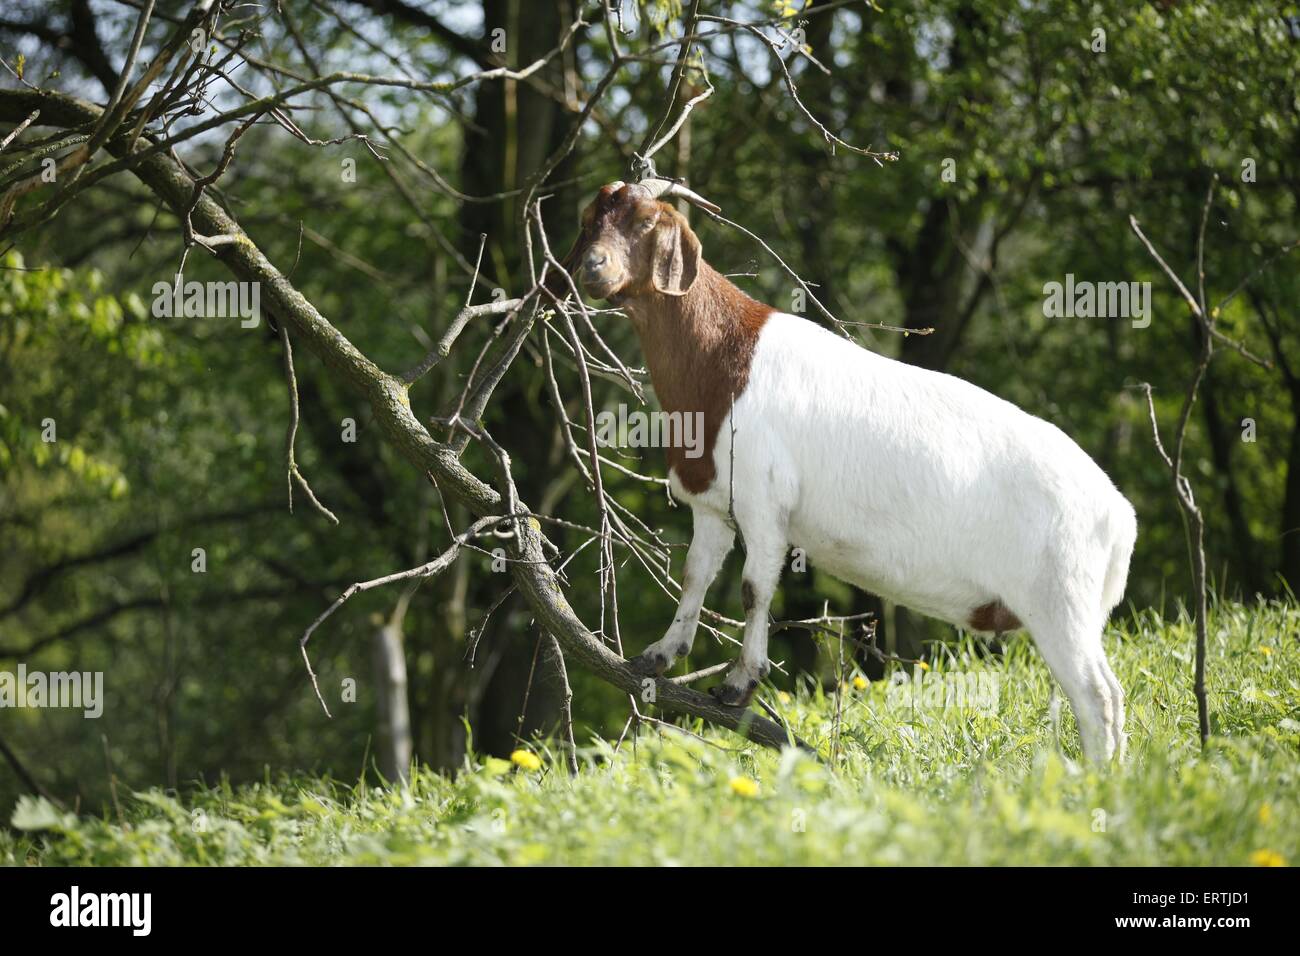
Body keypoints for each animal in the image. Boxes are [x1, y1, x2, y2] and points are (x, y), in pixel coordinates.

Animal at [562, 180, 1138, 762]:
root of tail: (1118, 514)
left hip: (1059, 600)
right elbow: (696, 574)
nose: (592, 266)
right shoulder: (713, 503)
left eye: (644, 222)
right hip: (1078, 610)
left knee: (1096, 698)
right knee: (1112, 693)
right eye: (588, 221)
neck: (724, 360)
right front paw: (661, 654)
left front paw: (739, 683)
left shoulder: (765, 501)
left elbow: (754, 588)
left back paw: (1095, 778)